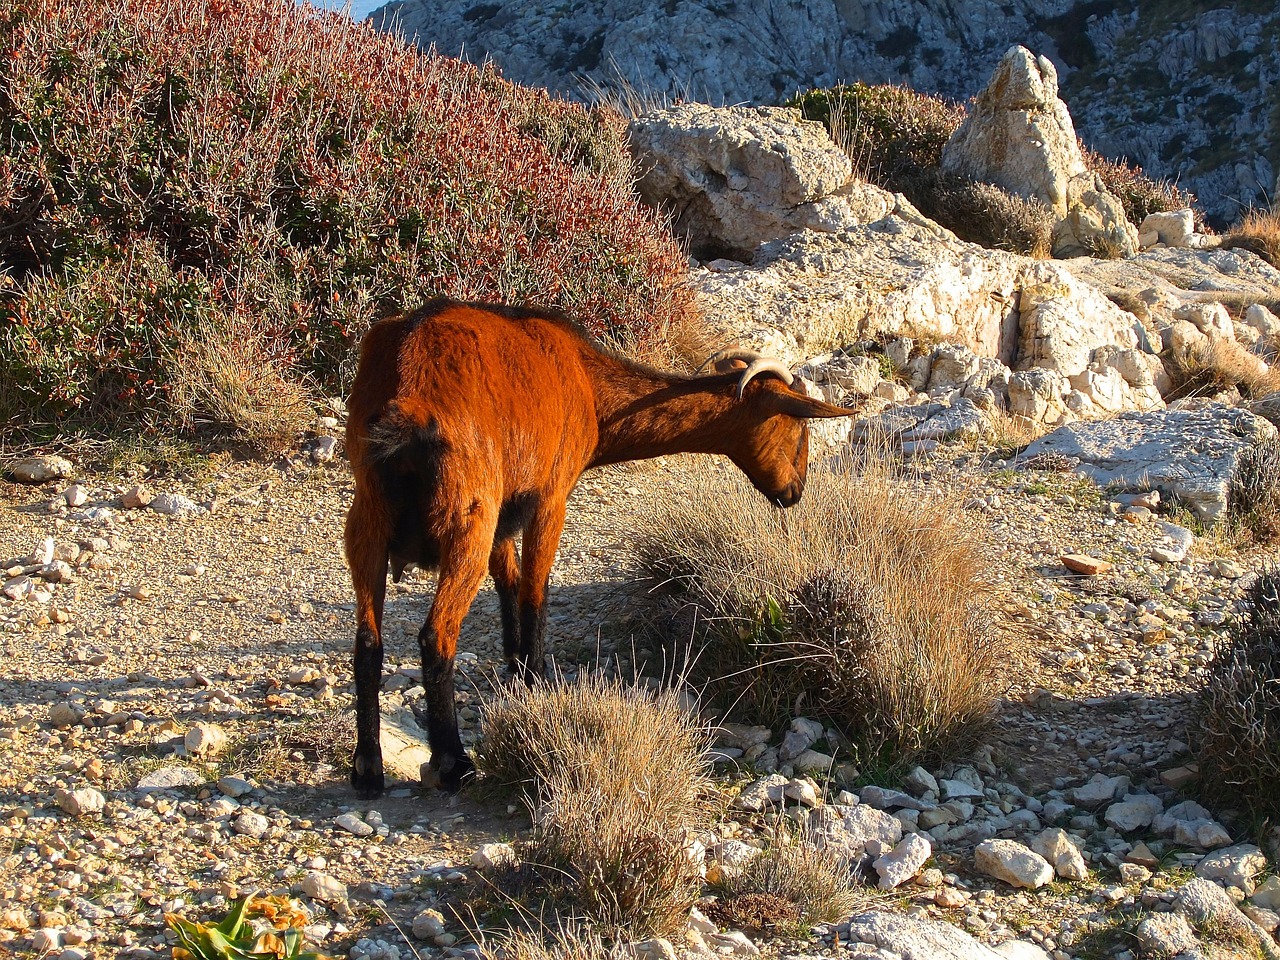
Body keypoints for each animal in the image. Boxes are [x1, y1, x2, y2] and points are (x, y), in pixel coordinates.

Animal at [344, 298, 856, 794]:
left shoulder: (505, 514)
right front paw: (536, 687)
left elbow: (509, 584)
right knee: (437, 635)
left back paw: (368, 768)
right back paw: (453, 763)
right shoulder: (548, 498)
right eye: (798, 428)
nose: (795, 492)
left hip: (369, 519)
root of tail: (407, 400)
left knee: (368, 641)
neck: (587, 381)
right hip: (467, 519)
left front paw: (516, 677)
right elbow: (534, 594)